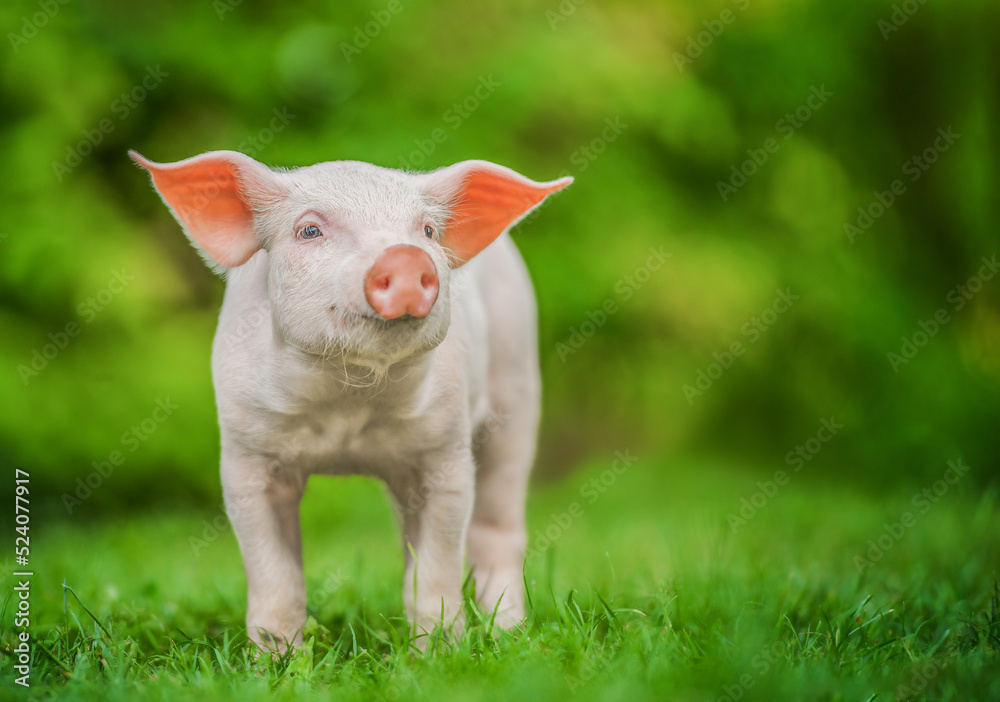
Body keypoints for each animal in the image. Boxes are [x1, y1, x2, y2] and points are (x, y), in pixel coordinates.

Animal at [129, 149, 571, 650]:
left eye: (427, 231)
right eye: (309, 230)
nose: (404, 256)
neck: (346, 409)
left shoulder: (446, 449)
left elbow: (439, 564)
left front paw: (439, 654)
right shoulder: (245, 455)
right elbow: (273, 572)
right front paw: (277, 659)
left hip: (518, 387)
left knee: (497, 528)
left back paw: (509, 637)